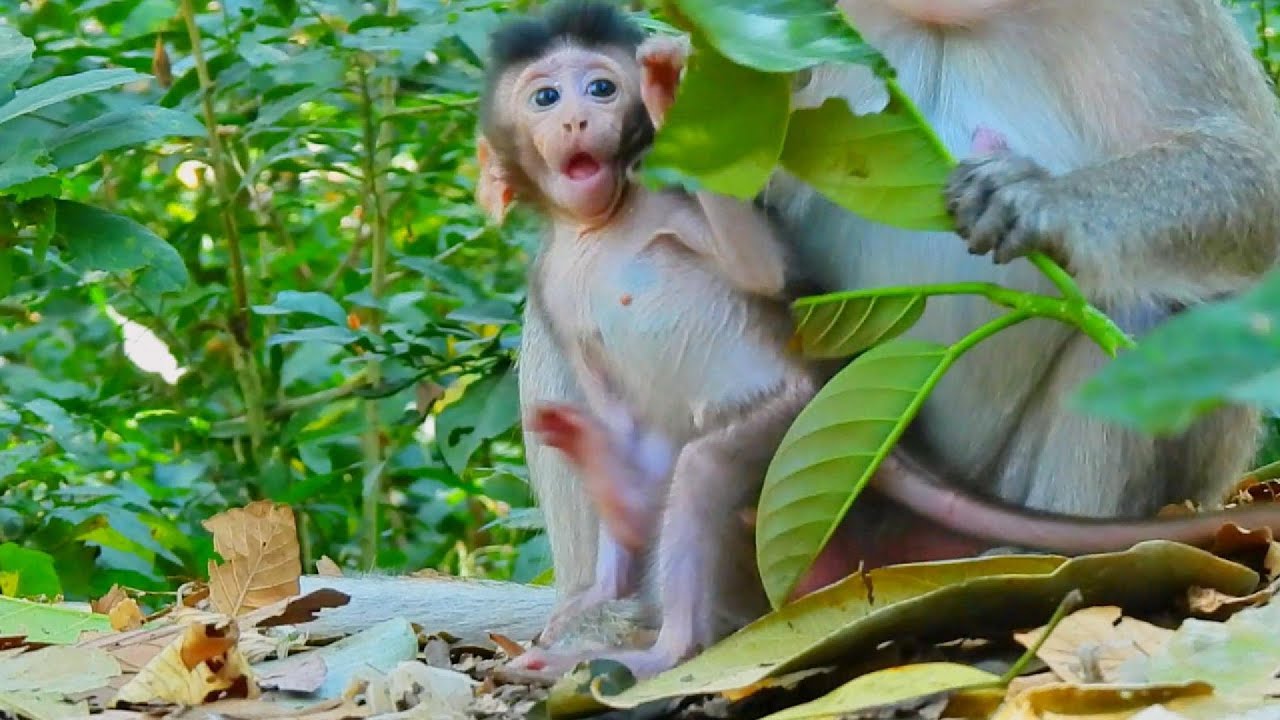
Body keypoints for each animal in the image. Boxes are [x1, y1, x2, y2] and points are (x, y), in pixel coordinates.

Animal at [511, 0, 1280, 676]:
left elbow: (1252, 177)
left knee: (1151, 305)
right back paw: (614, 579)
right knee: (571, 277)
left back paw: (1058, 563)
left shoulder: (1162, 14)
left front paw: (1041, 201)